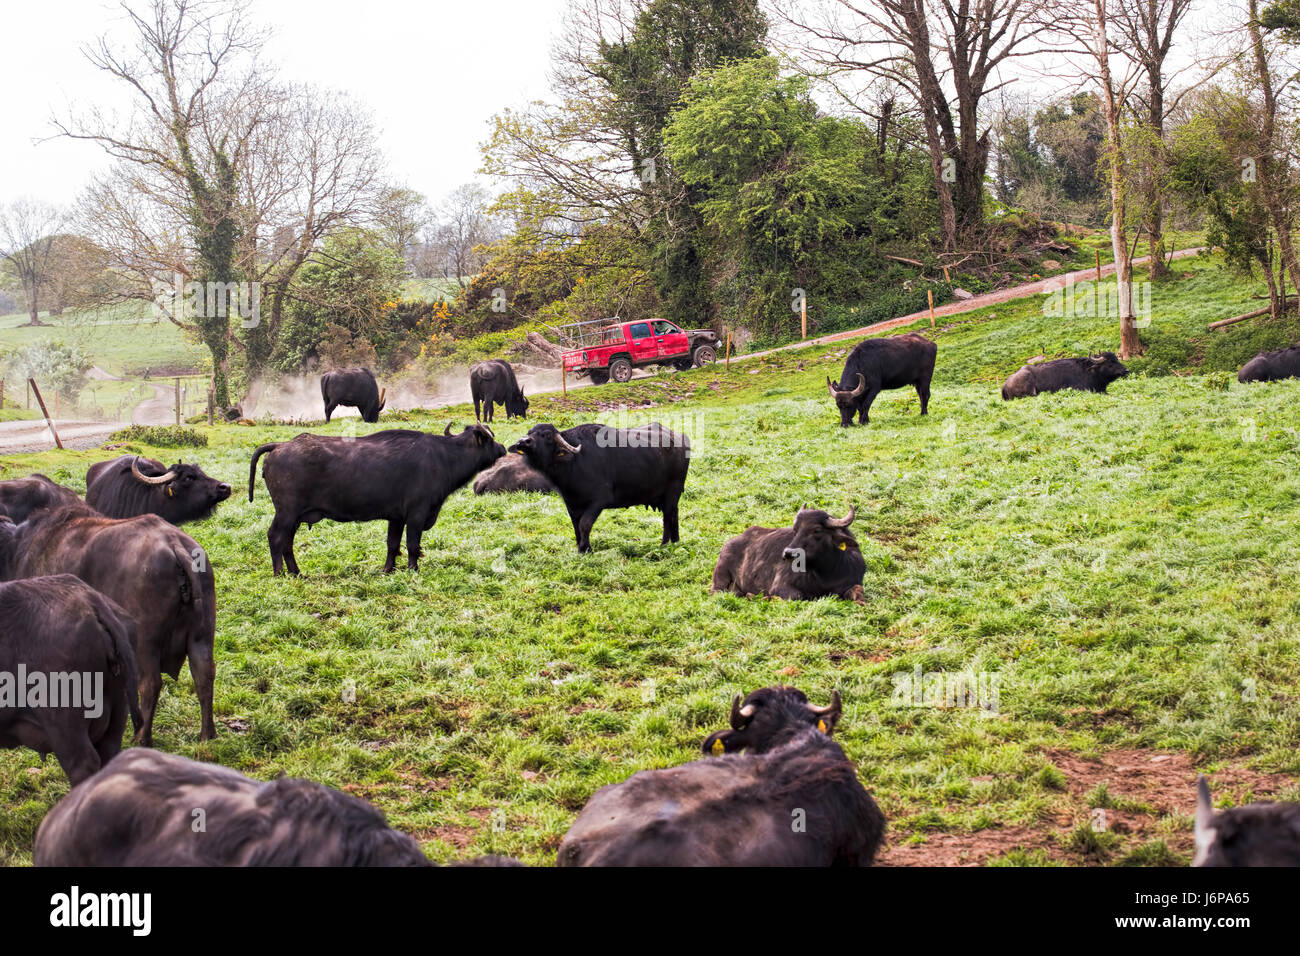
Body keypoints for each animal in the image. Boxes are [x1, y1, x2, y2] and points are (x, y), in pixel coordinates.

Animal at [0, 504, 216, 747]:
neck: (17, 551)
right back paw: (207, 734)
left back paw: (142, 737)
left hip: (145, 643)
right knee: (204, 674)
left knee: (150, 684)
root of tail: (174, 544)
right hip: (202, 635)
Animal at [249, 424, 505, 574]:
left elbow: (392, 545)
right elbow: (412, 545)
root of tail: (281, 446)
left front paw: (388, 570)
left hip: (294, 518)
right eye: (490, 439)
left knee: (287, 542)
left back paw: (296, 572)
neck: (444, 456)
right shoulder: (416, 515)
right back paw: (280, 574)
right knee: (276, 538)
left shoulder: (396, 518)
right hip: (286, 513)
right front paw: (413, 570)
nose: (503, 448)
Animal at [509, 422, 689, 553]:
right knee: (674, 514)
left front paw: (586, 549)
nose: (523, 441)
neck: (574, 462)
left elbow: (585, 524)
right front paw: (581, 548)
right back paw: (675, 541)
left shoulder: (598, 501)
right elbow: (576, 526)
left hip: (673, 491)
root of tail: (681, 439)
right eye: (530, 432)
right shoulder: (571, 503)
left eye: (546, 435)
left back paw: (664, 544)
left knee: (667, 516)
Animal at [712, 506, 866, 604]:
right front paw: (765, 598)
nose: (788, 553)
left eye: (816, 530)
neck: (826, 575)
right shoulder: (780, 586)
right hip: (720, 578)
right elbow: (797, 595)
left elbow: (858, 590)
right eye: (795, 530)